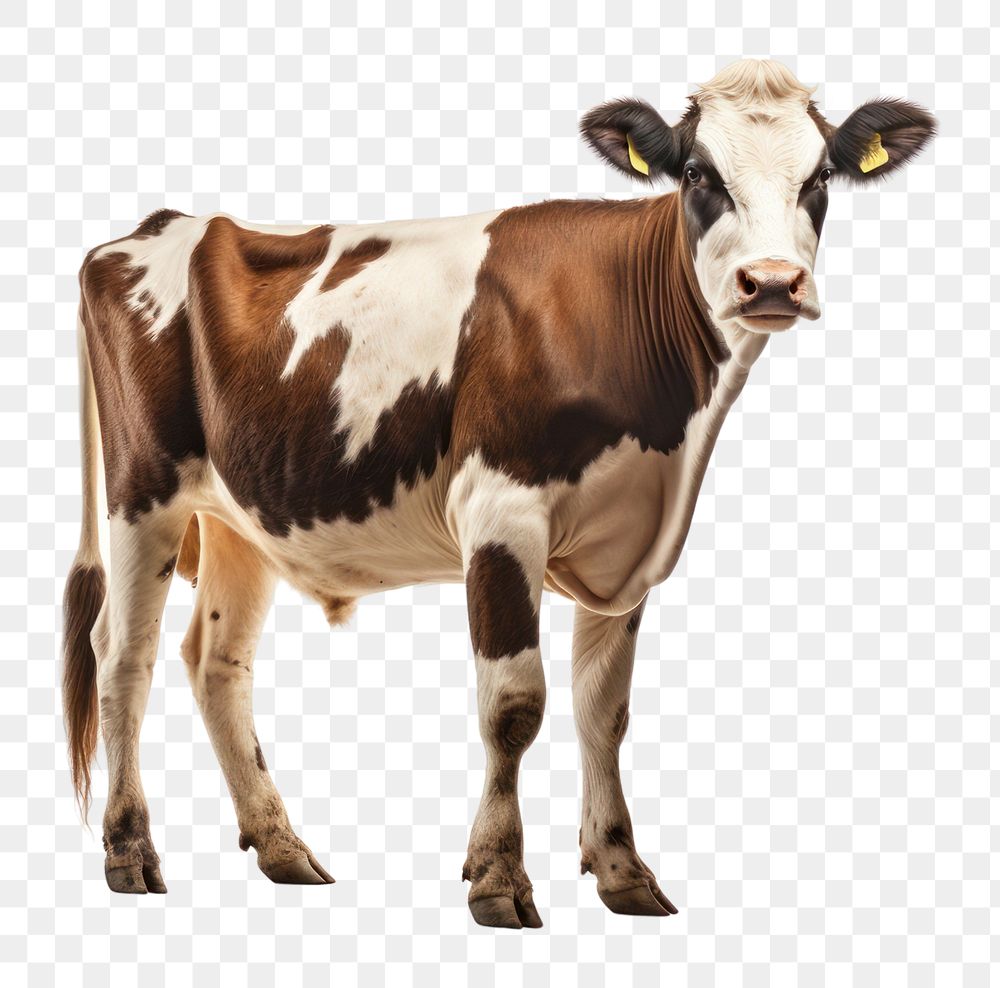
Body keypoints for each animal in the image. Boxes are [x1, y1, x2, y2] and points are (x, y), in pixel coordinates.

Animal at [62, 59, 935, 927]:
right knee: (123, 654)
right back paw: (130, 852)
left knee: (217, 660)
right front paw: (497, 876)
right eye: (696, 173)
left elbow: (604, 711)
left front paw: (621, 869)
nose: (773, 284)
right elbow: (514, 707)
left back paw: (282, 848)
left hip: (242, 512)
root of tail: (160, 227)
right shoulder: (500, 513)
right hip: (144, 491)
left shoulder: (630, 539)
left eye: (819, 176)